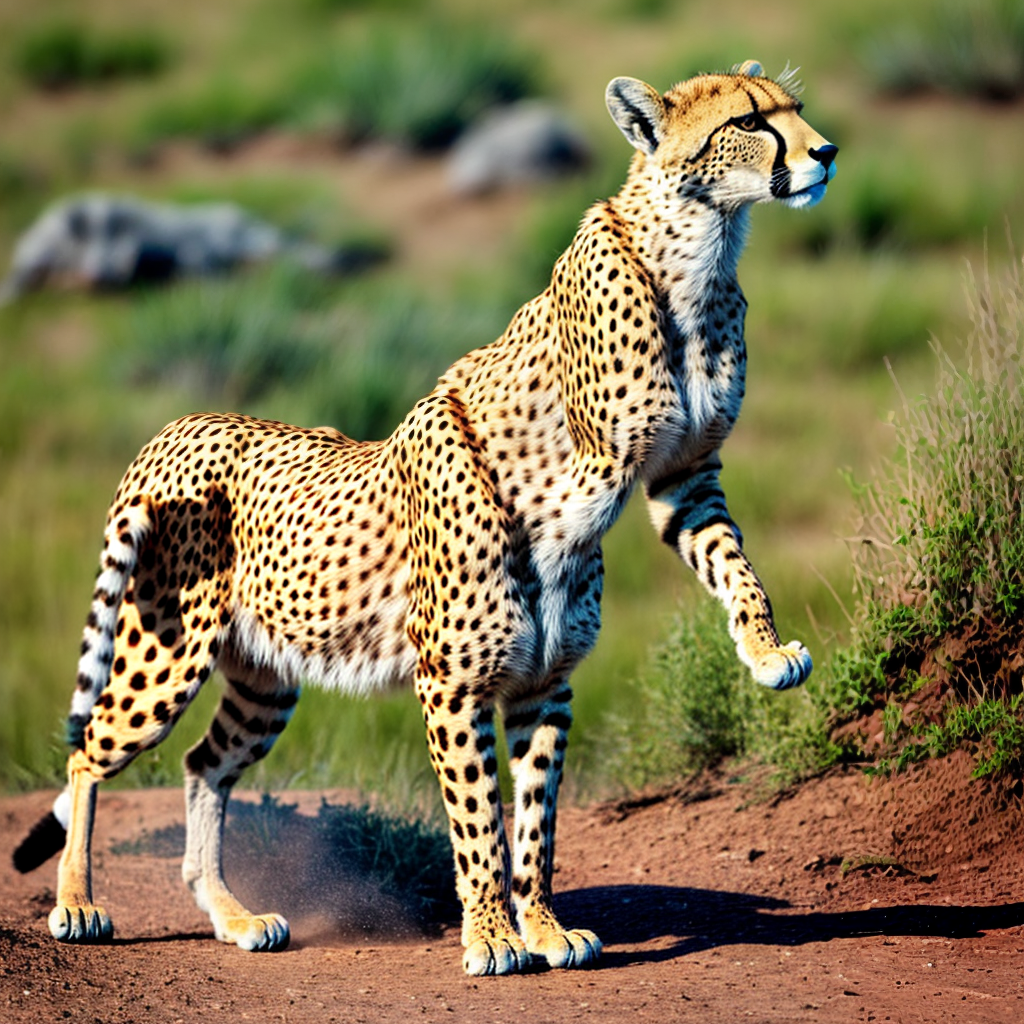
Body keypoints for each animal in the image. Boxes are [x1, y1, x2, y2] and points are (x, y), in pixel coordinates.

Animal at [13, 60, 837, 976]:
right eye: (751, 122)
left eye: (796, 110)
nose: (826, 152)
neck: (700, 252)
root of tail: (186, 424)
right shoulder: (454, 682)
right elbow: (479, 822)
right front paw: (491, 938)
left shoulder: (572, 645)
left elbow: (538, 820)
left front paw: (543, 926)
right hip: (165, 654)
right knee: (88, 752)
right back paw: (77, 904)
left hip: (264, 678)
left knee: (203, 766)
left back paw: (232, 915)